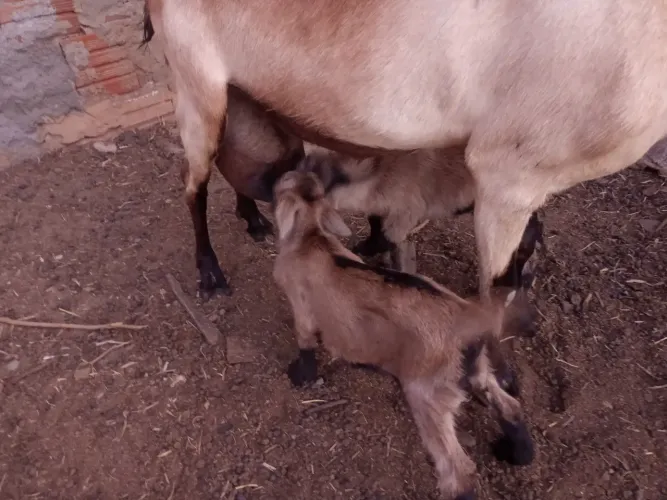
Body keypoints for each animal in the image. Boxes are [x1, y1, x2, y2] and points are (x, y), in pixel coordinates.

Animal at [272, 170, 535, 499]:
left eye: (283, 185)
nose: (280, 175)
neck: (310, 240)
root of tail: (470, 320)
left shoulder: (302, 306)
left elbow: (305, 341)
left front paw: (298, 375)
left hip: (427, 392)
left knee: (458, 470)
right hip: (478, 372)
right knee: (511, 407)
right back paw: (515, 452)